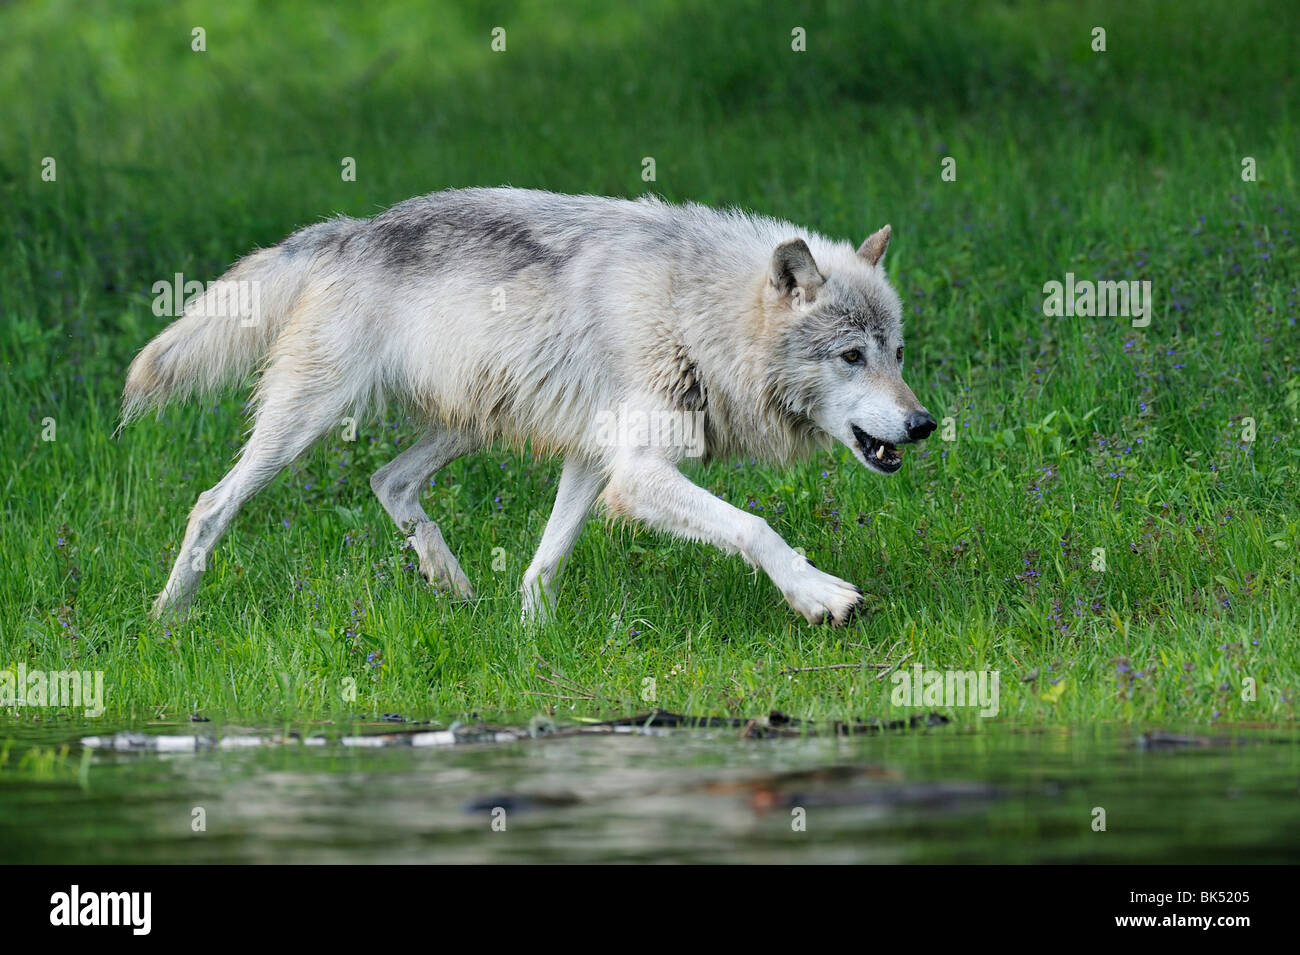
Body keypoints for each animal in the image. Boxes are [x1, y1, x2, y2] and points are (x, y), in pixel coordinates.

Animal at [122, 188, 935, 626]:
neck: (694, 313)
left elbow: (543, 565)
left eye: (897, 353)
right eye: (851, 356)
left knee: (389, 481)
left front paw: (530, 638)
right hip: (303, 425)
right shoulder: (636, 473)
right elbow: (757, 527)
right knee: (212, 504)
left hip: (470, 424)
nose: (924, 425)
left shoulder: (596, 459)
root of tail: (349, 229)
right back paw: (167, 617)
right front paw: (819, 595)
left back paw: (453, 585)